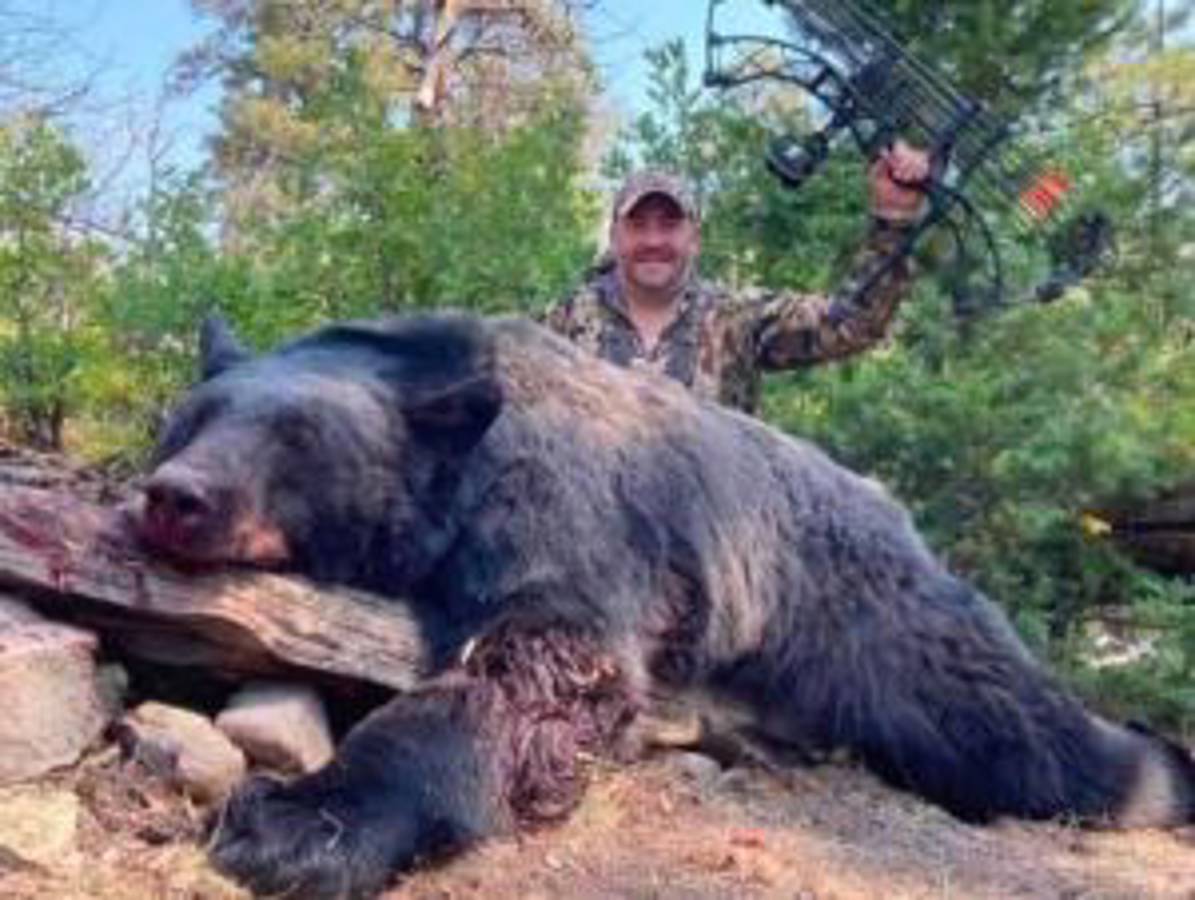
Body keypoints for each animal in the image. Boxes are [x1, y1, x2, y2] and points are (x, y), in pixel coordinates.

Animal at [134, 313, 1195, 899]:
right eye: (188, 421)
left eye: (296, 438)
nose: (176, 497)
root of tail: (886, 501)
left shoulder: (562, 508)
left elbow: (539, 666)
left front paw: (303, 820)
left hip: (876, 622)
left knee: (1018, 734)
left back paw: (1162, 770)